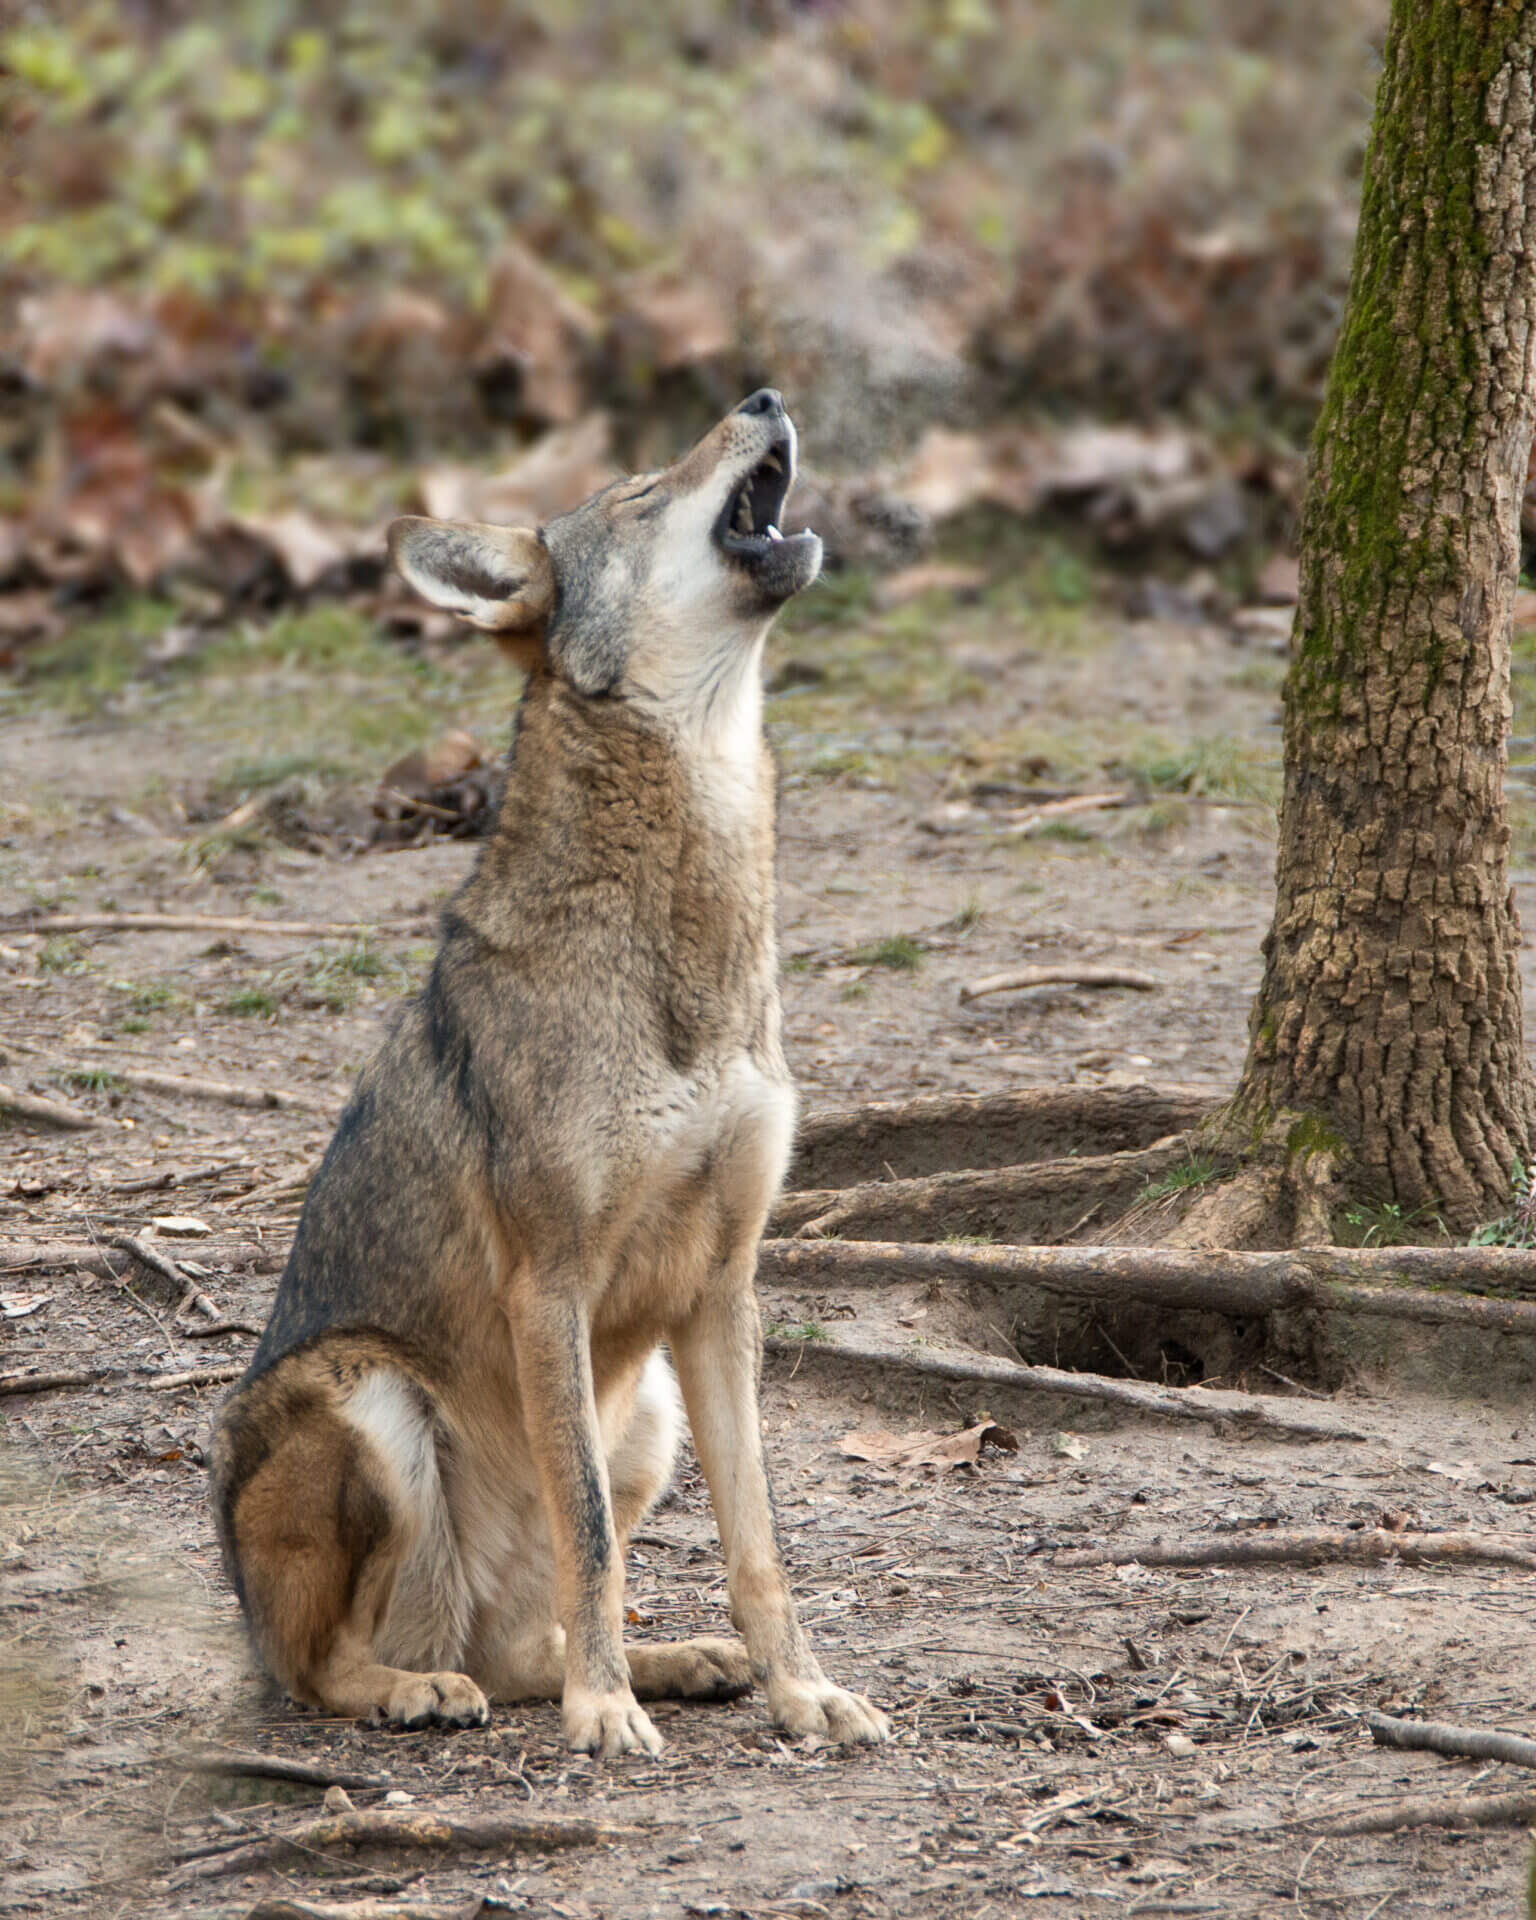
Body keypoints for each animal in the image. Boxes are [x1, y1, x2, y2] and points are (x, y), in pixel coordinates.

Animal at [208, 390, 891, 1758]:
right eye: (639, 492)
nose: (762, 396)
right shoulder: (551, 1283)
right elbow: (587, 1530)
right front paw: (605, 1714)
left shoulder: (724, 1291)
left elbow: (757, 1544)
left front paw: (798, 1689)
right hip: (368, 1396)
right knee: (323, 1671)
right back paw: (422, 1688)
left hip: (651, 1411)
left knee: (528, 1640)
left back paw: (669, 1661)